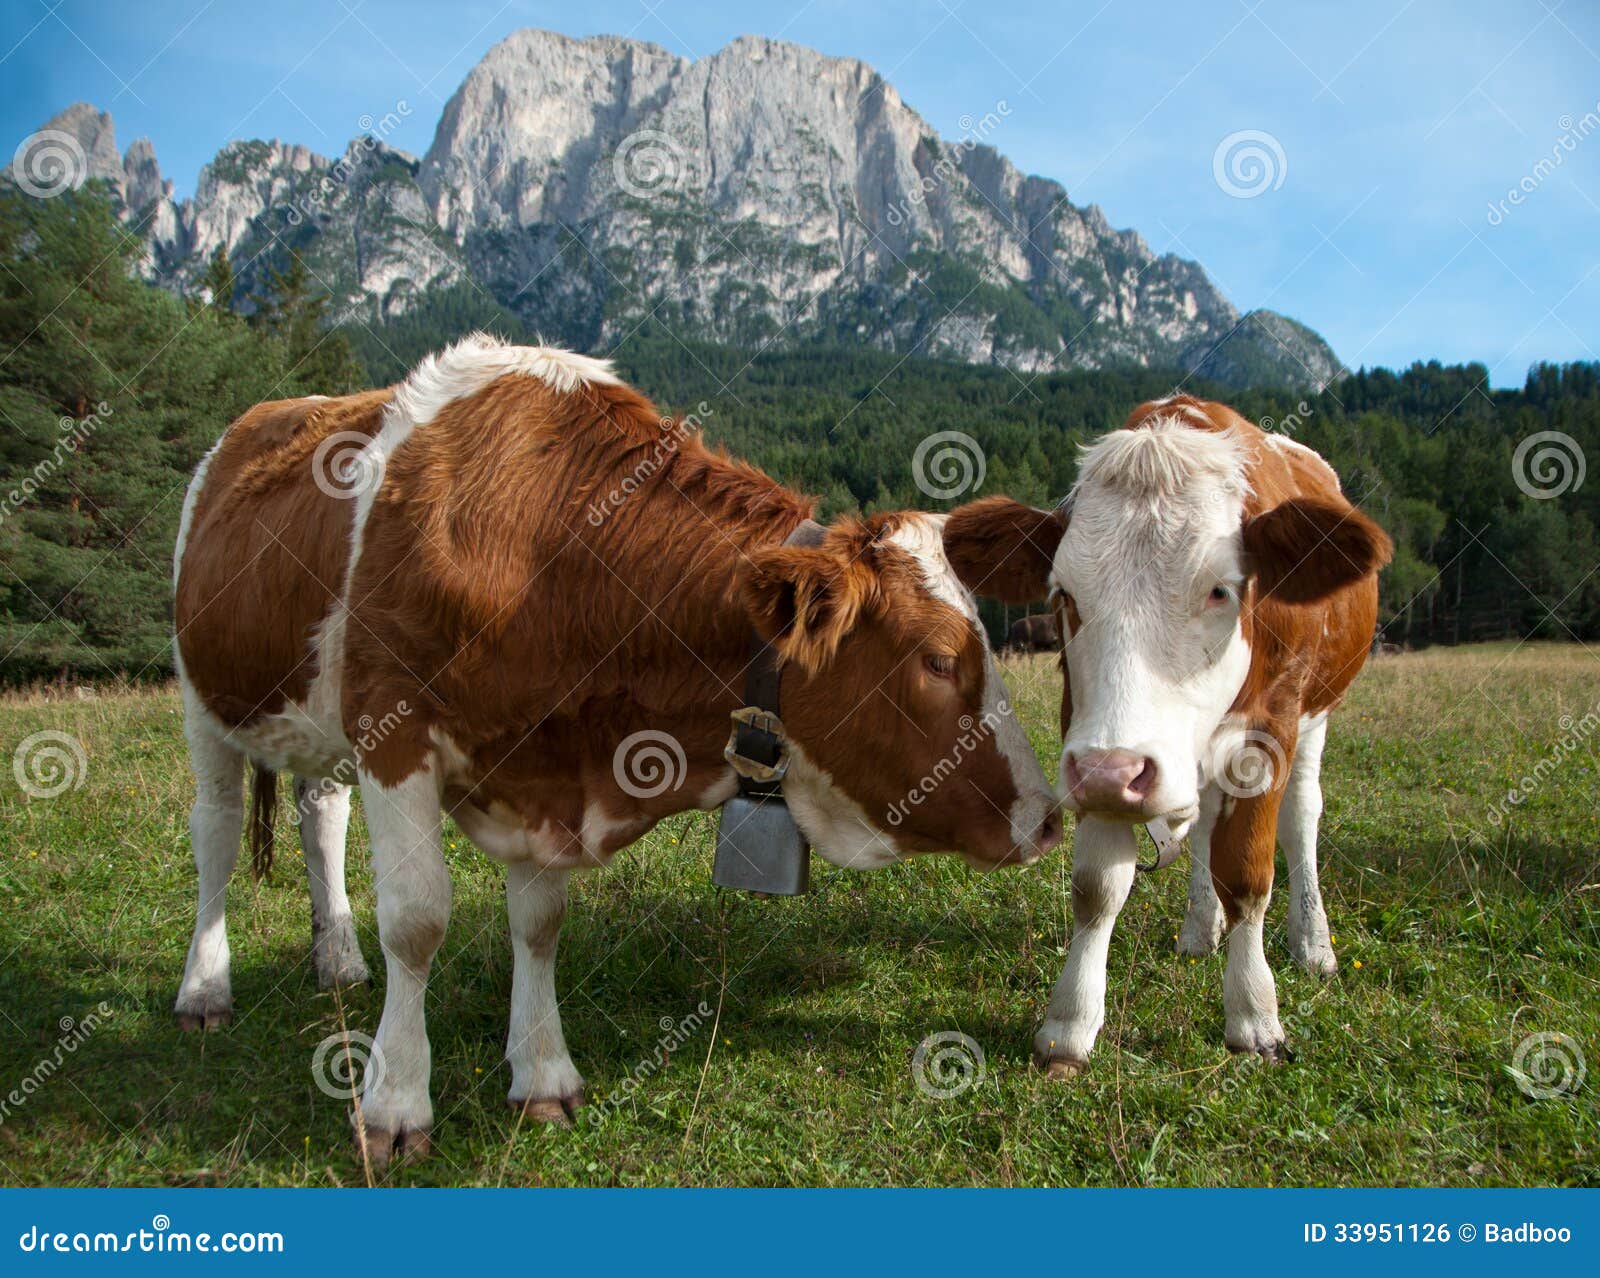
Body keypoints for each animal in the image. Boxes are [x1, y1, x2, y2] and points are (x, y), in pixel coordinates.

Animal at [171, 334, 1061, 1164]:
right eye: (938, 660)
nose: (1047, 817)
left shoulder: (538, 769)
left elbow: (539, 923)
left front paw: (541, 1076)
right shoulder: (395, 727)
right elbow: (418, 920)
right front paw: (394, 1107)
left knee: (320, 813)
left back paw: (339, 960)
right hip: (202, 703)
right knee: (216, 834)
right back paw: (205, 989)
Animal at [942, 394, 1391, 1071]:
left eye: (1220, 590)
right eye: (1063, 594)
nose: (1115, 773)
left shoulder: (1269, 731)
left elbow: (1248, 875)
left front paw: (1254, 1013)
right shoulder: (1093, 739)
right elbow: (1098, 888)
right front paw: (1070, 1022)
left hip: (1316, 715)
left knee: (1302, 817)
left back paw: (1312, 942)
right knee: (1202, 821)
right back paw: (1200, 928)